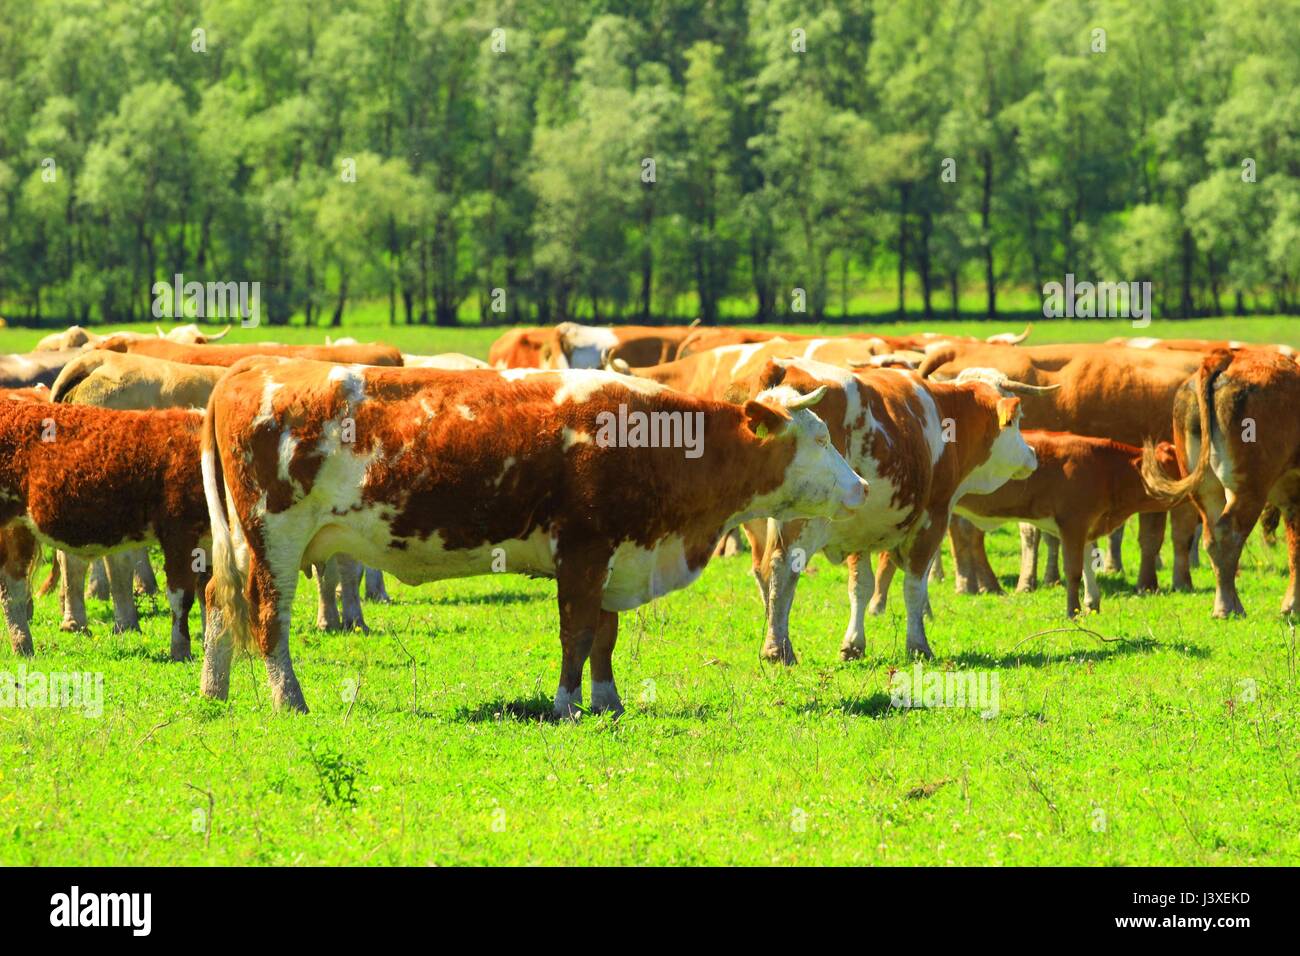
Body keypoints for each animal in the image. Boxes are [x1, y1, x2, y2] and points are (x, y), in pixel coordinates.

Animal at [0, 402, 209, 660]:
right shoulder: (179, 533)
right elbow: (182, 597)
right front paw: (181, 651)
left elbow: (207, 594)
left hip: (19, 528)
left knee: (13, 586)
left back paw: (23, 647)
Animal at [197, 360, 868, 713]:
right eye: (819, 438)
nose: (860, 486)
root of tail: (253, 367)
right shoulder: (584, 551)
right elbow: (577, 633)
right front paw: (568, 704)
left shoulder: (614, 556)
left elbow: (604, 636)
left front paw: (608, 702)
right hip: (276, 538)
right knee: (268, 617)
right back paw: (289, 700)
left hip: (242, 543)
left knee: (217, 603)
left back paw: (215, 691)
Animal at [727, 358, 1039, 662]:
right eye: (1016, 421)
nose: (1033, 454)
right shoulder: (933, 518)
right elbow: (914, 586)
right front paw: (918, 645)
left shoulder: (858, 532)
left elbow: (861, 586)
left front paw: (853, 645)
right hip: (801, 520)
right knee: (782, 569)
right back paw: (778, 648)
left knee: (763, 573)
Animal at [874, 431, 1183, 618]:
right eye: (1174, 464)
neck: (1106, 467)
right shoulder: (1073, 523)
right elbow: (1073, 571)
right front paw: (1072, 611)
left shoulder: (1086, 526)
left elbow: (1087, 566)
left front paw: (1092, 603)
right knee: (889, 560)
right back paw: (877, 606)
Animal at [1141, 348, 1300, 619]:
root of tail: (1228, 357)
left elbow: (1295, 547)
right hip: (1247, 489)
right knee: (1228, 534)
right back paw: (1228, 607)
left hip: (1206, 489)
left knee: (1212, 536)